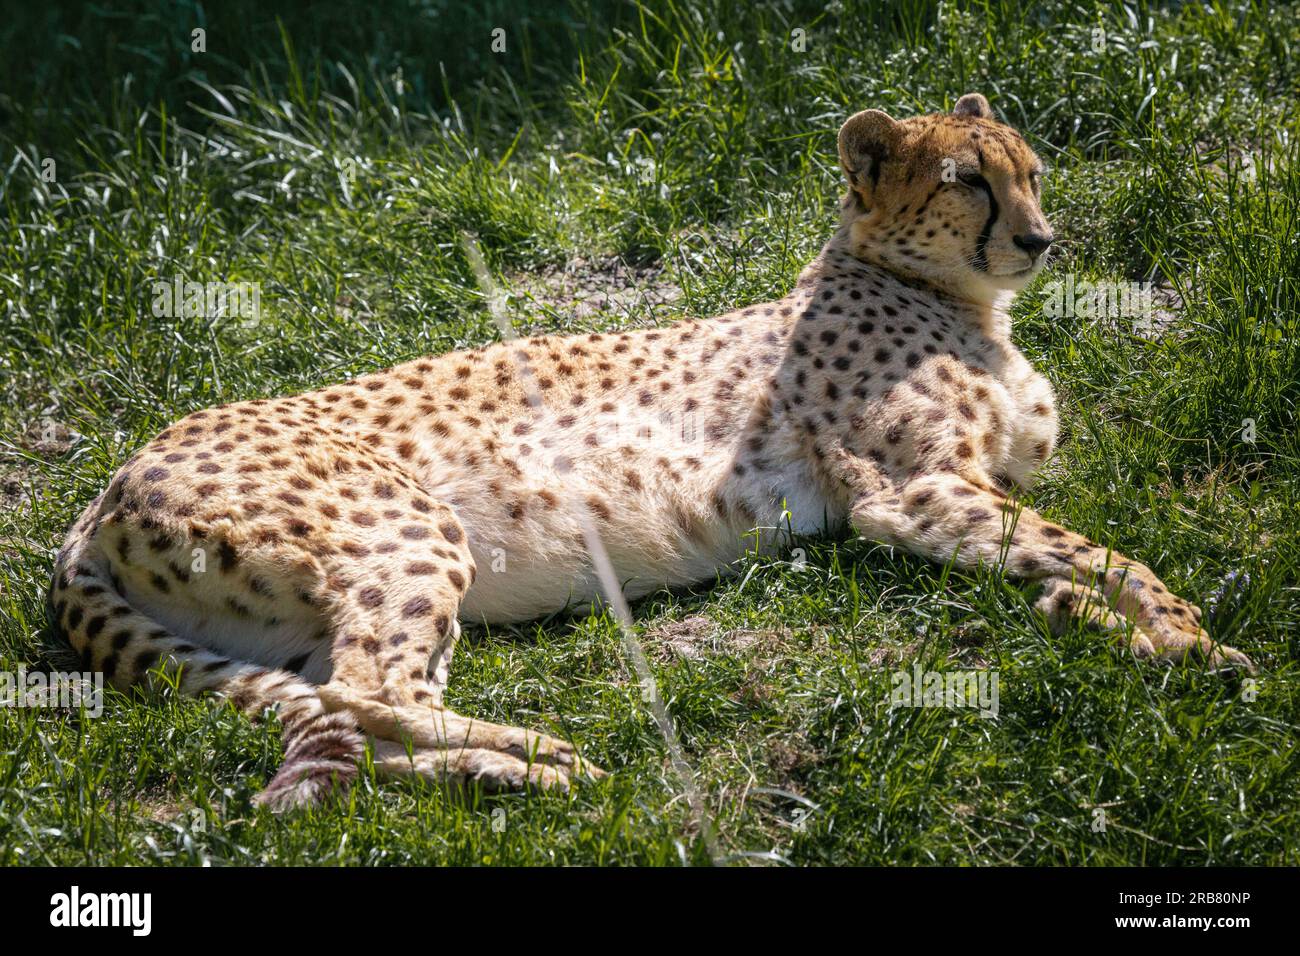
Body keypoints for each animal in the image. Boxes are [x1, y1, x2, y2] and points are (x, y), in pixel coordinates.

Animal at [48, 93, 1253, 810]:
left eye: (1032, 171)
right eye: (967, 180)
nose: (1041, 239)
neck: (960, 301)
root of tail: (100, 492)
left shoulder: (975, 485)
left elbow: (1066, 547)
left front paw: (1102, 624)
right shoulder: (910, 493)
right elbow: (1107, 549)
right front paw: (1186, 637)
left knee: (349, 711)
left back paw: (504, 769)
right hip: (405, 530)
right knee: (358, 695)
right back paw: (545, 751)